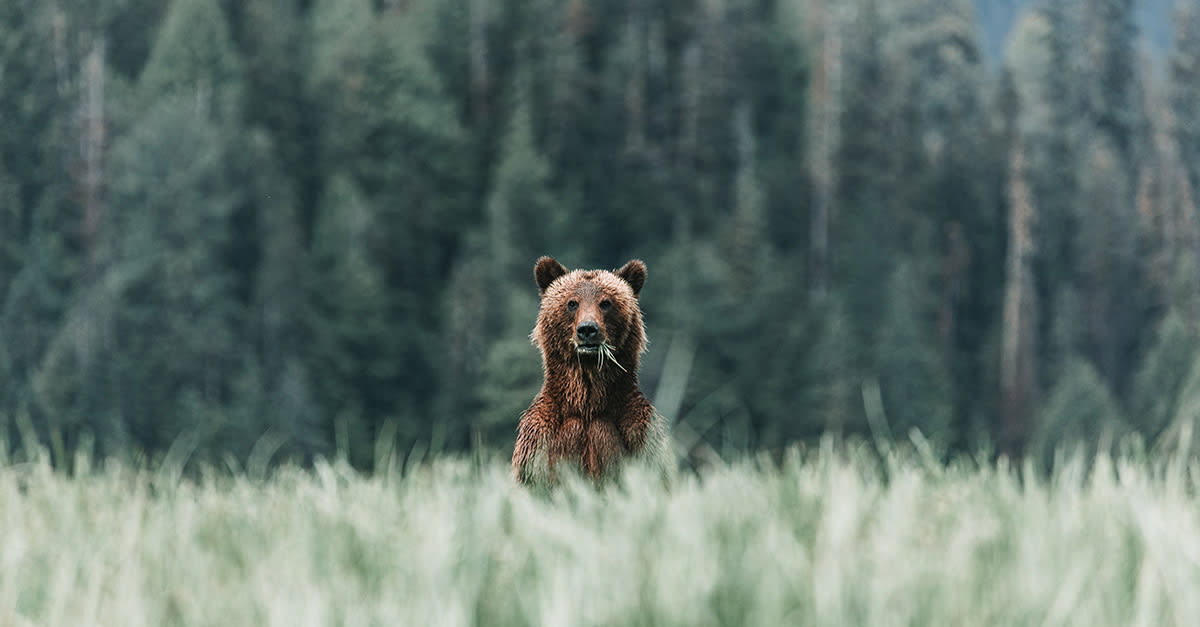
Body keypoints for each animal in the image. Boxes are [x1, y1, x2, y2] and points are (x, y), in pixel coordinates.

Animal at [511, 256, 671, 485]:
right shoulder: (537, 440)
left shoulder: (641, 433)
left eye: (606, 303)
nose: (587, 329)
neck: (587, 402)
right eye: (572, 302)